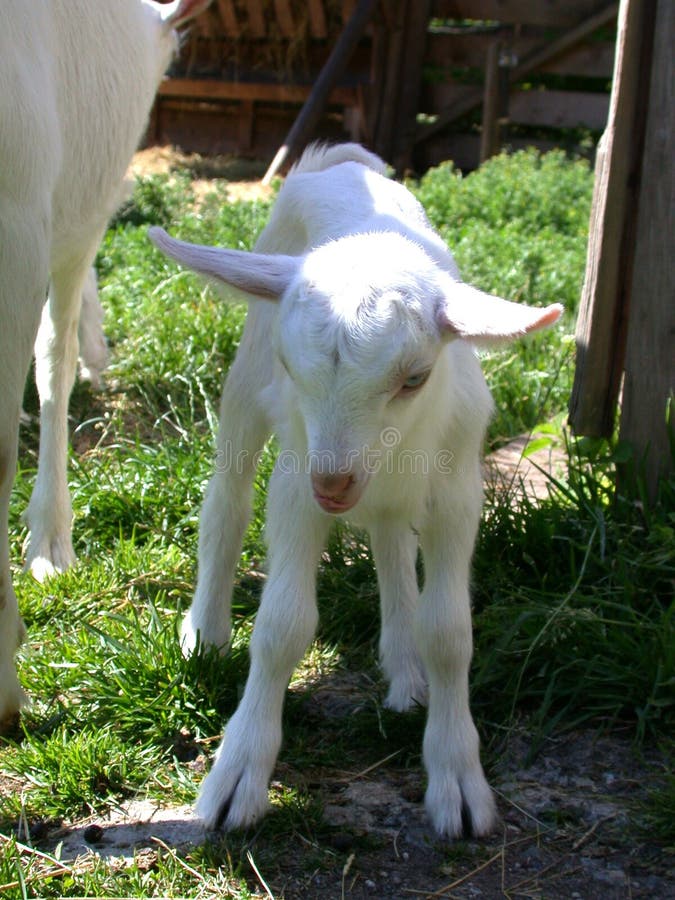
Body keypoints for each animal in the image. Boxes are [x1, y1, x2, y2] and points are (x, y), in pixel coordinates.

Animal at [151, 142, 562, 838]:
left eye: (415, 377)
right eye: (292, 367)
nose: (334, 482)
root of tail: (339, 162)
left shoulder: (457, 492)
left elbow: (449, 631)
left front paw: (456, 777)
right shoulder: (295, 484)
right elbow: (282, 625)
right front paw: (236, 778)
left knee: (391, 537)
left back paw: (404, 668)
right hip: (247, 378)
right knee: (228, 501)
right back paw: (205, 633)